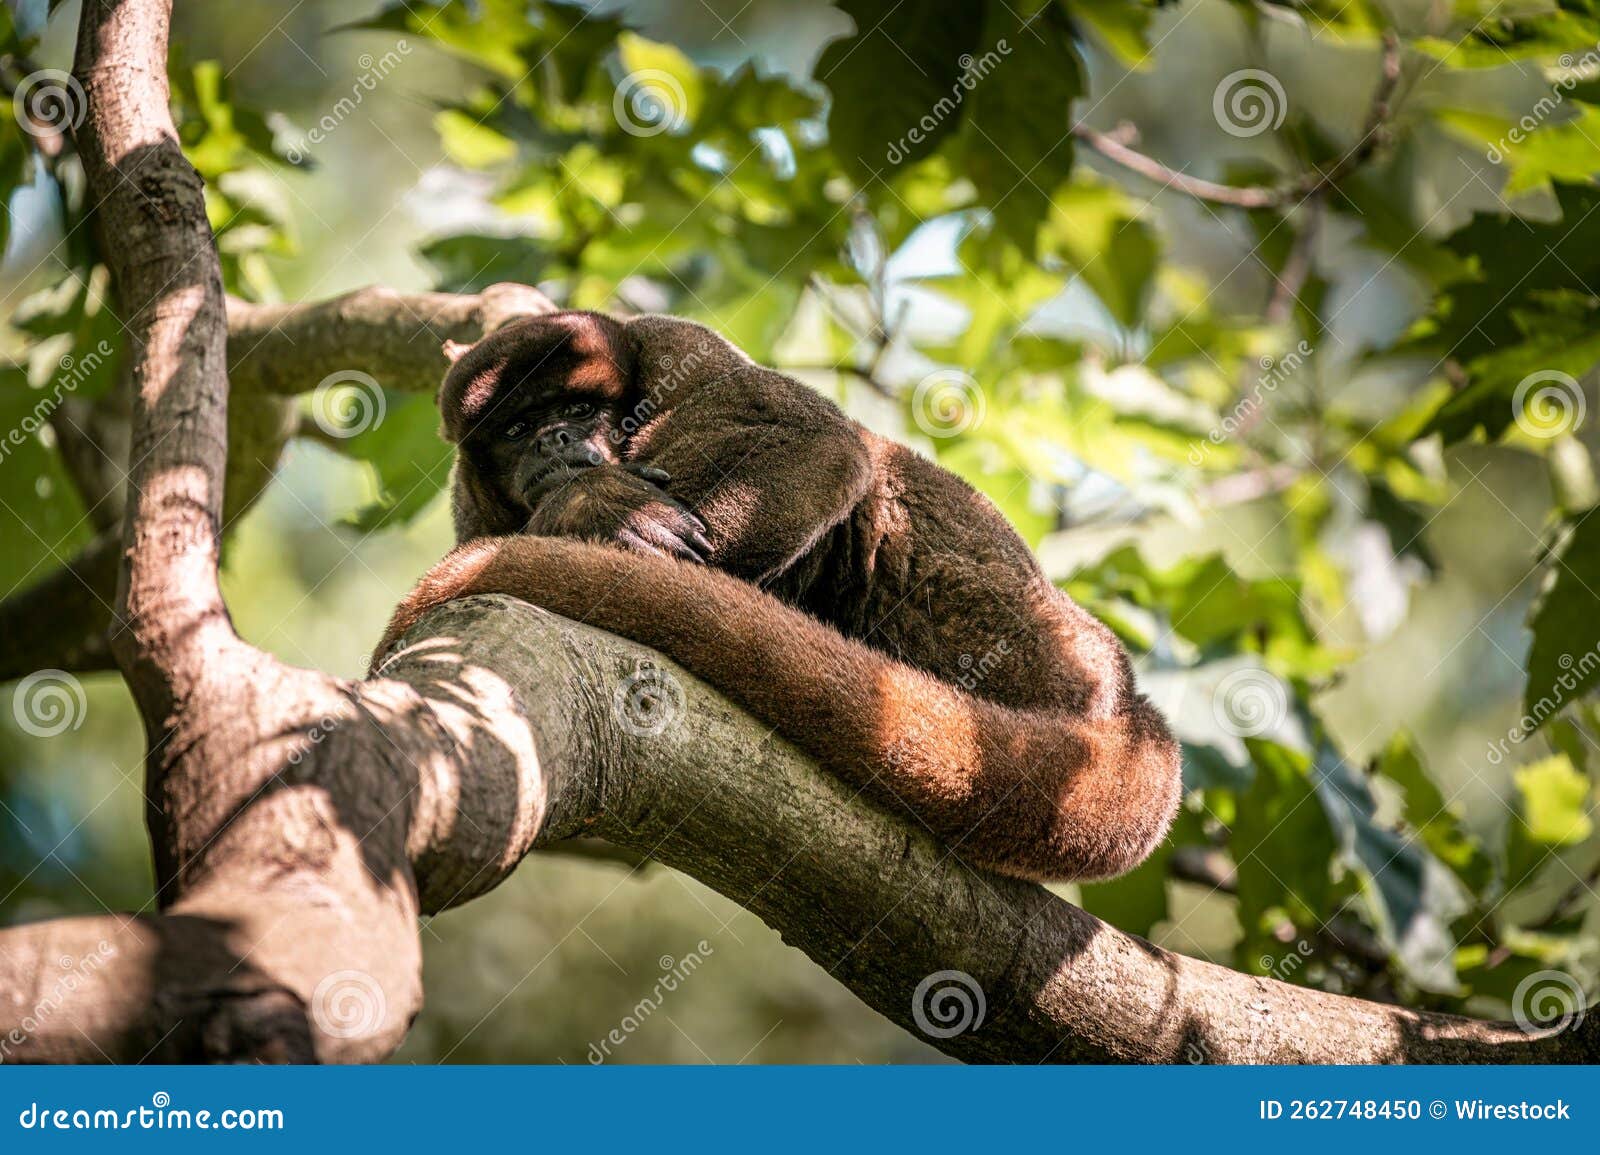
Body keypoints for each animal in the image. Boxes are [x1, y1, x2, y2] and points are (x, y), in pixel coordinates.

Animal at [375, 309, 1182, 882]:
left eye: (577, 408)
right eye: (519, 427)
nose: (556, 440)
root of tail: (1126, 698)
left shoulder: (681, 348)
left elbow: (817, 444)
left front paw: (599, 515)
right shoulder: (471, 499)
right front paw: (602, 512)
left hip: (1025, 634)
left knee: (871, 466)